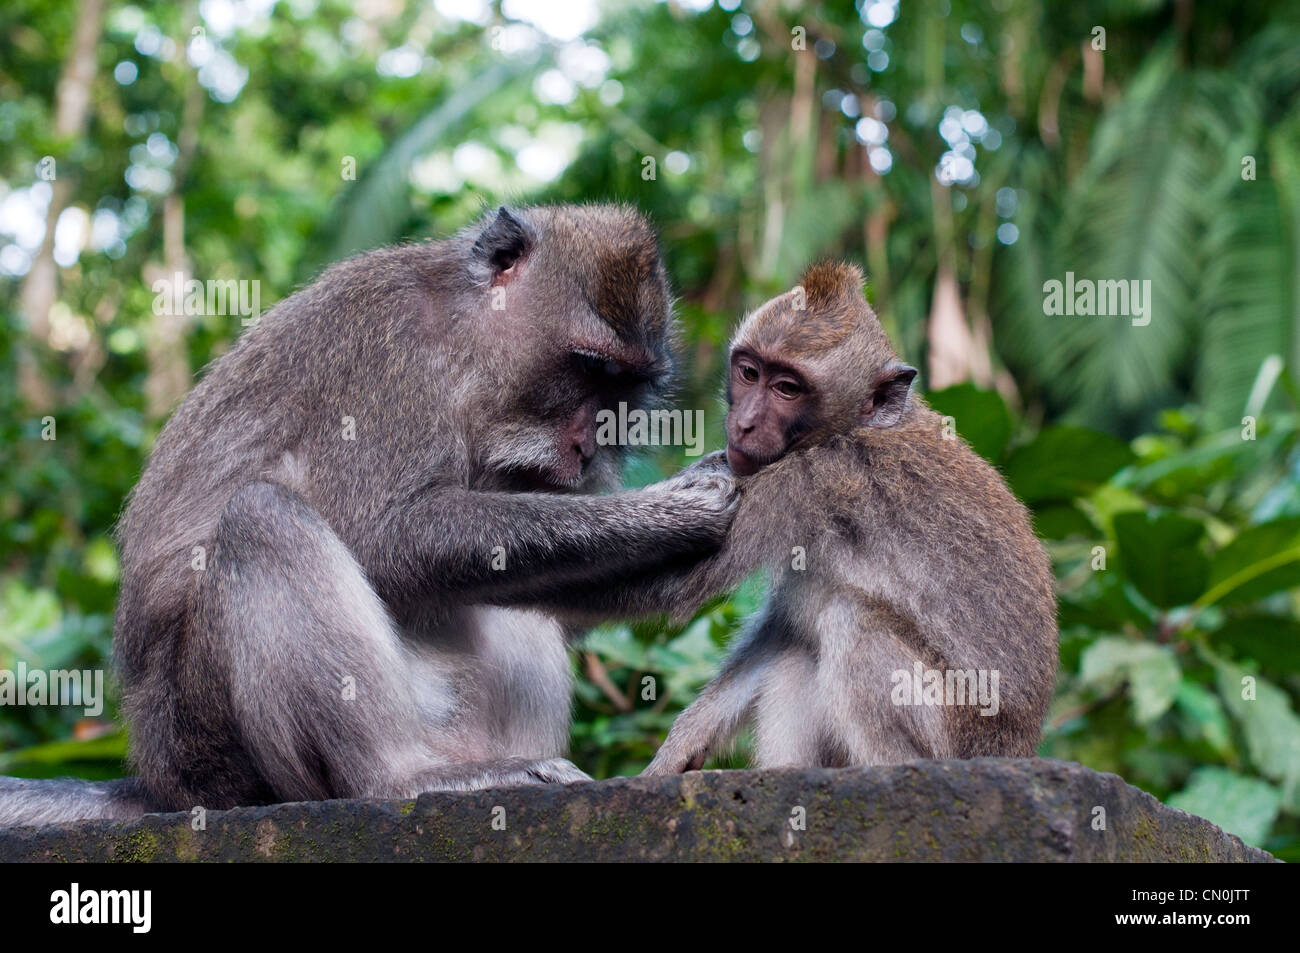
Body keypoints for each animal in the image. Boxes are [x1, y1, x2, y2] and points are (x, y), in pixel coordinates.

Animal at [0, 204, 739, 827]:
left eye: (626, 392)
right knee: (264, 519)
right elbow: (387, 540)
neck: (465, 346)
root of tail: (160, 782)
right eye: (586, 368)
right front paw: (672, 508)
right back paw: (402, 778)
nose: (589, 449)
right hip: (210, 749)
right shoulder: (388, 360)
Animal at [530, 261, 1058, 774]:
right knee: (801, 647)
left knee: (849, 620)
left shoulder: (809, 483)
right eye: (749, 373)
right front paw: (682, 745)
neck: (856, 427)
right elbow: (780, 628)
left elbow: (671, 584)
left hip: (954, 733)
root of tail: (1019, 747)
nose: (743, 425)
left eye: (787, 389)